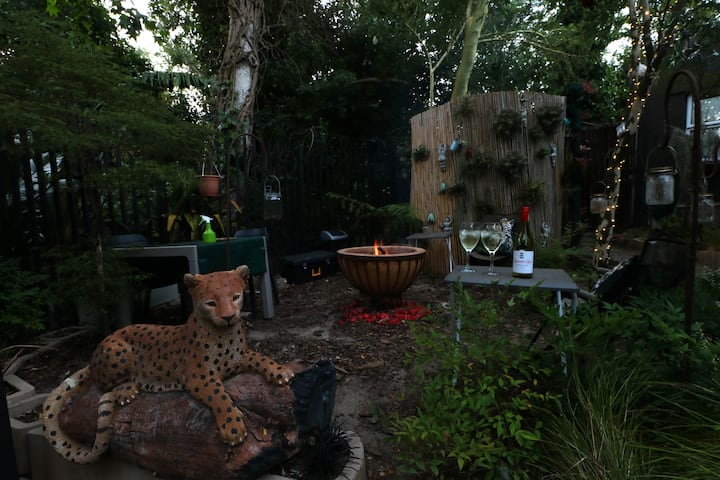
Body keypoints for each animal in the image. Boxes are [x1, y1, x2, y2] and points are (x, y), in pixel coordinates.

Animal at [41, 265, 295, 464]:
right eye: (211, 302)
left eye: (235, 297)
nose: (228, 316)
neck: (224, 333)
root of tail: (94, 354)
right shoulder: (199, 376)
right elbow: (219, 395)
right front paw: (233, 428)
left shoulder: (239, 357)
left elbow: (259, 357)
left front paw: (280, 370)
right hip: (119, 350)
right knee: (103, 383)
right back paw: (126, 390)